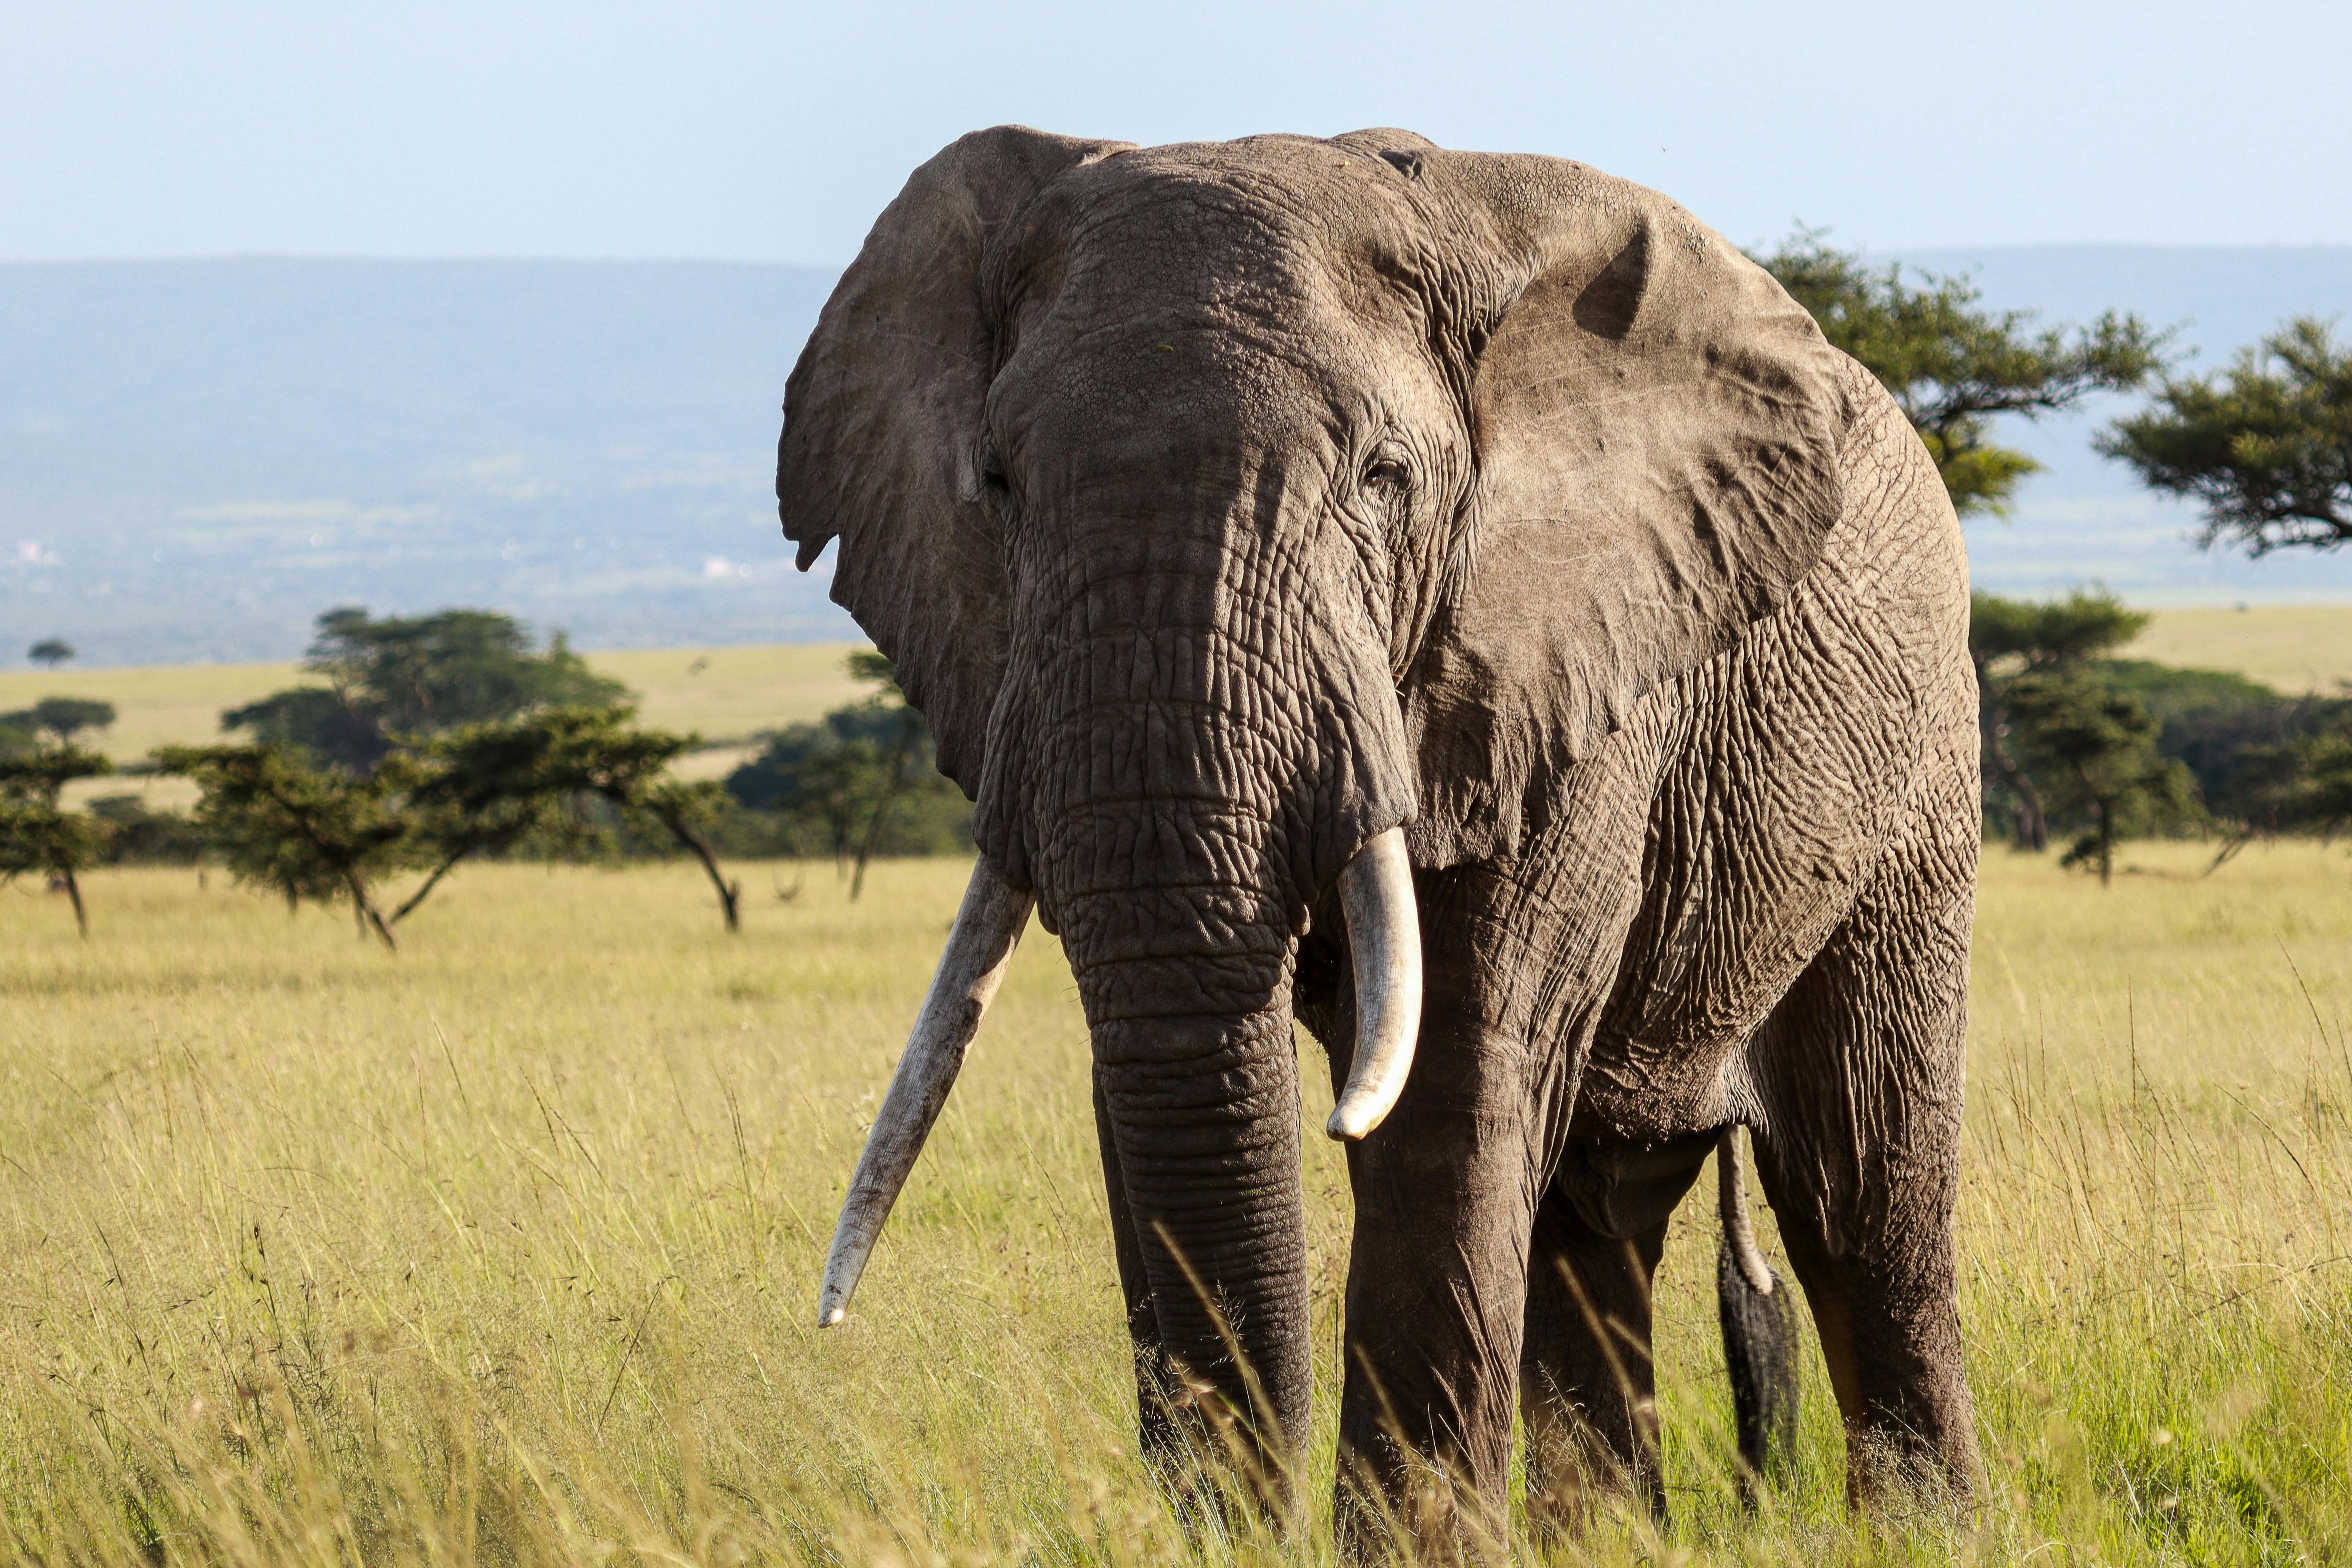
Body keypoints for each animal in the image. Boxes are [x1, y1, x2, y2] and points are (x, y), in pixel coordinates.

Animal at [776, 125, 1980, 1543]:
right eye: (1000, 484)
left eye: (1383, 480)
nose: (1245, 1528)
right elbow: (1146, 1062)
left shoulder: (1559, 663)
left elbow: (1449, 1093)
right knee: (1599, 1211)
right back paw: (1608, 1536)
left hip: (1916, 769)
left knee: (1859, 1188)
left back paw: (1931, 1531)